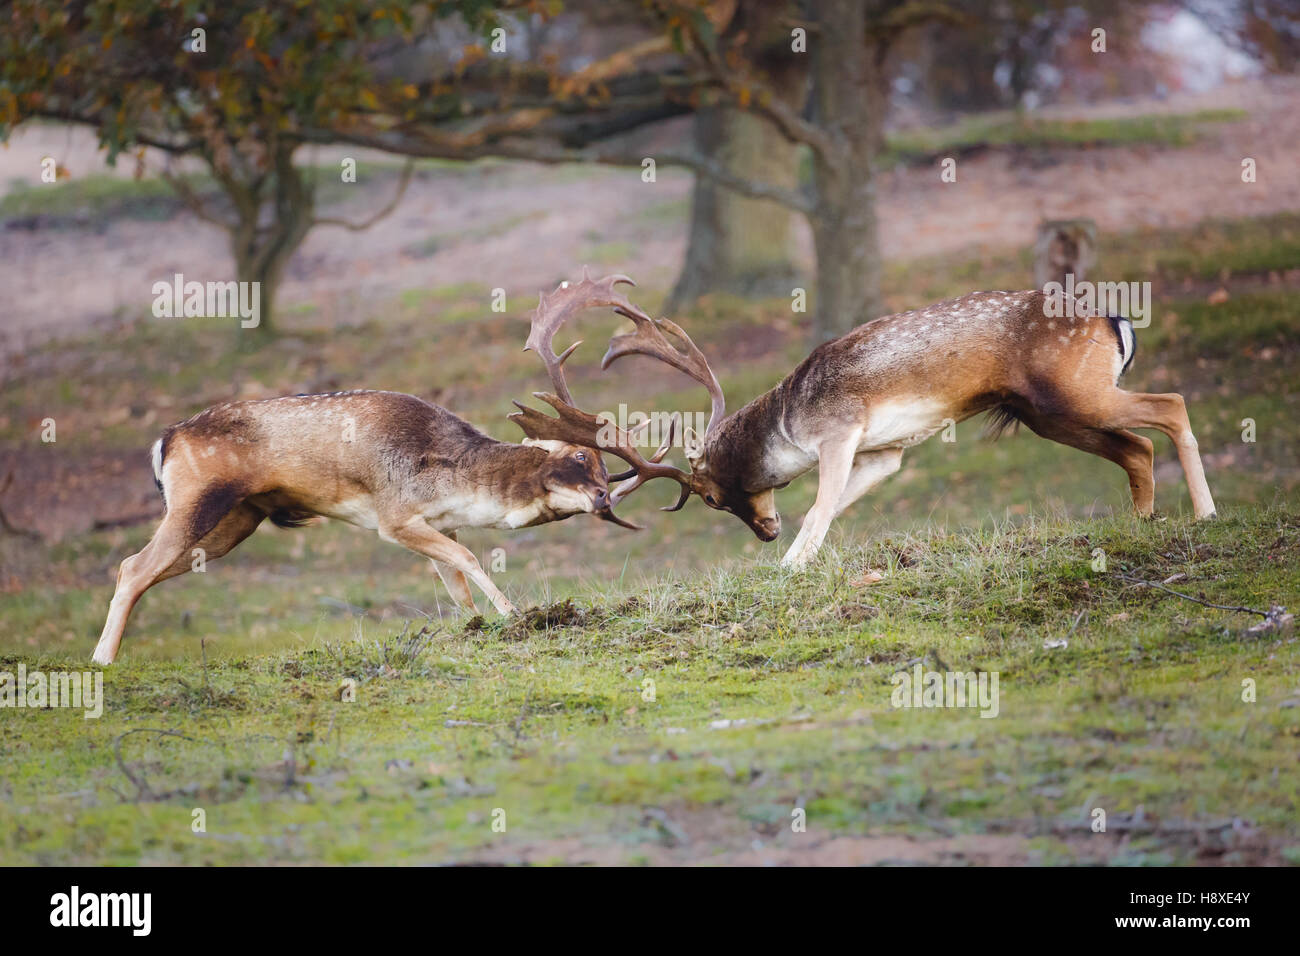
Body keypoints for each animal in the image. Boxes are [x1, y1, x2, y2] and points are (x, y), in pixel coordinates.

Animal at [91, 276, 684, 666]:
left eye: (606, 468)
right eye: (582, 457)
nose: (606, 499)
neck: (453, 480)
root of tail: (165, 440)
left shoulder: (440, 525)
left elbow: (457, 583)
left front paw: (479, 625)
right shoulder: (393, 518)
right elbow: (472, 560)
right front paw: (515, 614)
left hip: (237, 521)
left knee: (133, 566)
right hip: (197, 499)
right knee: (133, 567)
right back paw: (102, 663)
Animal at [509, 276, 1218, 571]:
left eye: (708, 497)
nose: (764, 532)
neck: (790, 421)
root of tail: (1116, 319)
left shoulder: (839, 430)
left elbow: (822, 504)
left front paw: (790, 566)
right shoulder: (887, 452)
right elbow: (842, 503)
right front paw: (796, 559)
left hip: (1077, 392)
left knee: (1172, 404)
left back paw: (1207, 513)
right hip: (1049, 413)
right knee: (1136, 447)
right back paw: (1142, 524)